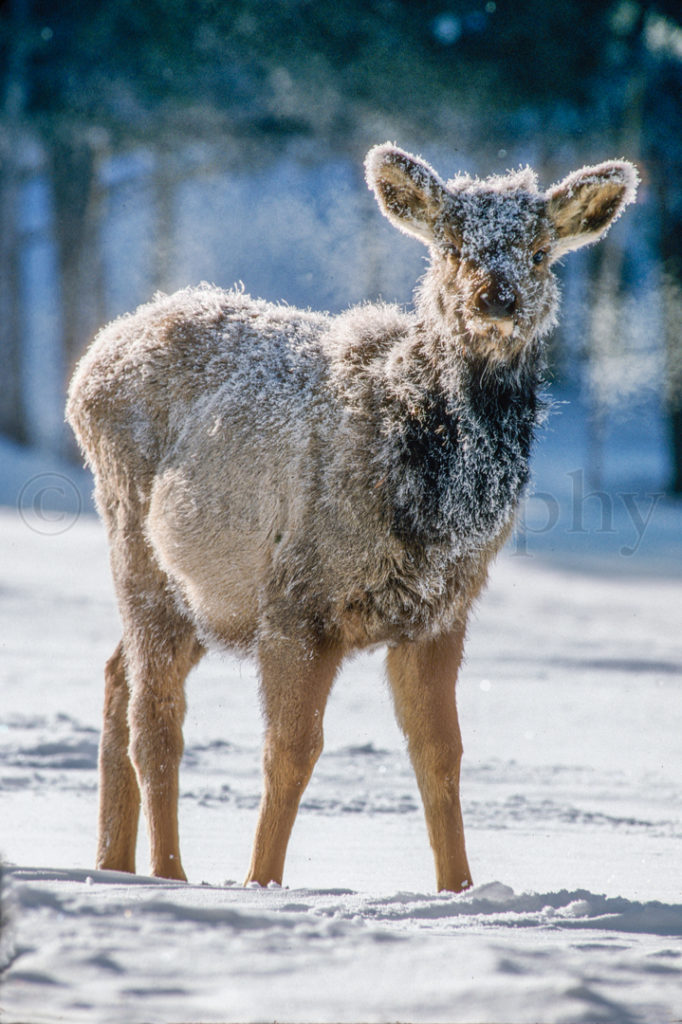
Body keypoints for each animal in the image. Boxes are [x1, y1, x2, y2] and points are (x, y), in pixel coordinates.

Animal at [66, 143, 638, 892]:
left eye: (540, 252)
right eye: (450, 246)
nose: (498, 297)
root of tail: (88, 363)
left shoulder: (440, 612)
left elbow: (441, 754)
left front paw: (459, 888)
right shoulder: (297, 596)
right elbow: (291, 751)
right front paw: (260, 883)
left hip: (208, 597)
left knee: (115, 673)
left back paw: (113, 866)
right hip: (136, 540)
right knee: (154, 718)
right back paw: (169, 874)